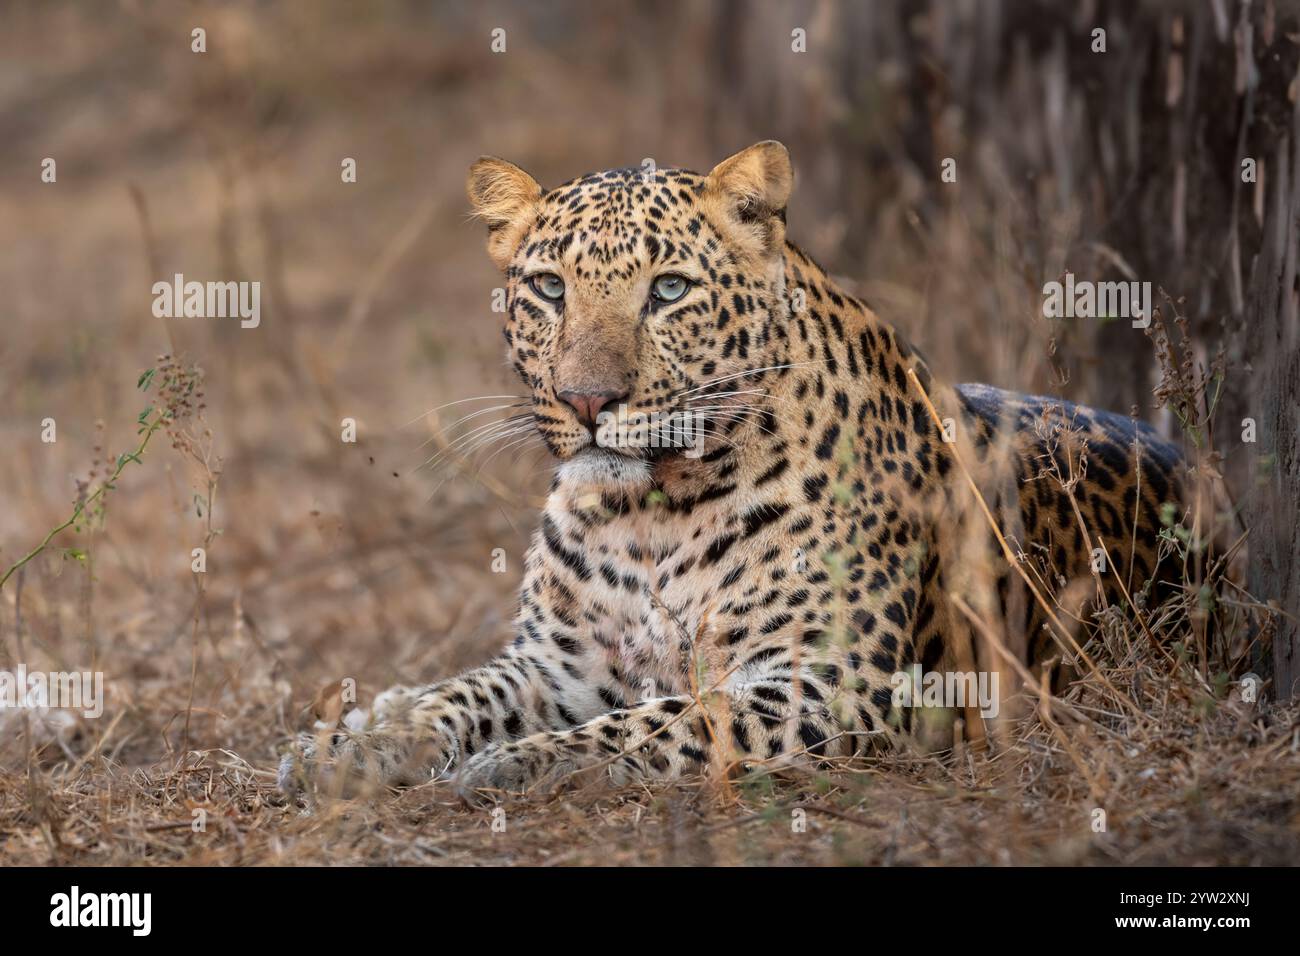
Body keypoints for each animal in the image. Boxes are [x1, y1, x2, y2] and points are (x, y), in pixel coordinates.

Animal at [278, 140, 1183, 802]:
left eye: (669, 290)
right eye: (548, 289)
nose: (586, 399)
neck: (645, 515)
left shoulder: (830, 683)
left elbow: (660, 721)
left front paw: (519, 763)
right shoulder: (559, 666)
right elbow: (461, 697)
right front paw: (361, 748)